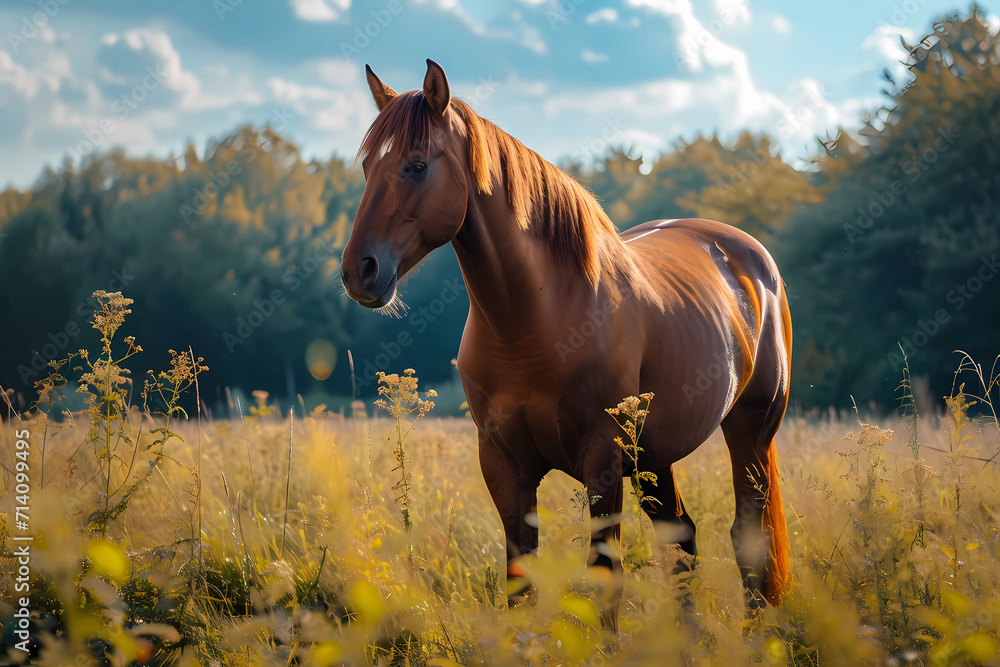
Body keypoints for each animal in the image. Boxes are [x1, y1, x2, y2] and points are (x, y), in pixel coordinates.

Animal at [341, 59, 792, 621]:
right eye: (366, 168)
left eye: (417, 165)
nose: (359, 272)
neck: (534, 322)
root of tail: (750, 256)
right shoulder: (504, 467)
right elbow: (519, 585)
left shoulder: (602, 463)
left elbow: (605, 581)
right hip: (655, 459)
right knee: (683, 541)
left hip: (749, 435)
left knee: (749, 541)